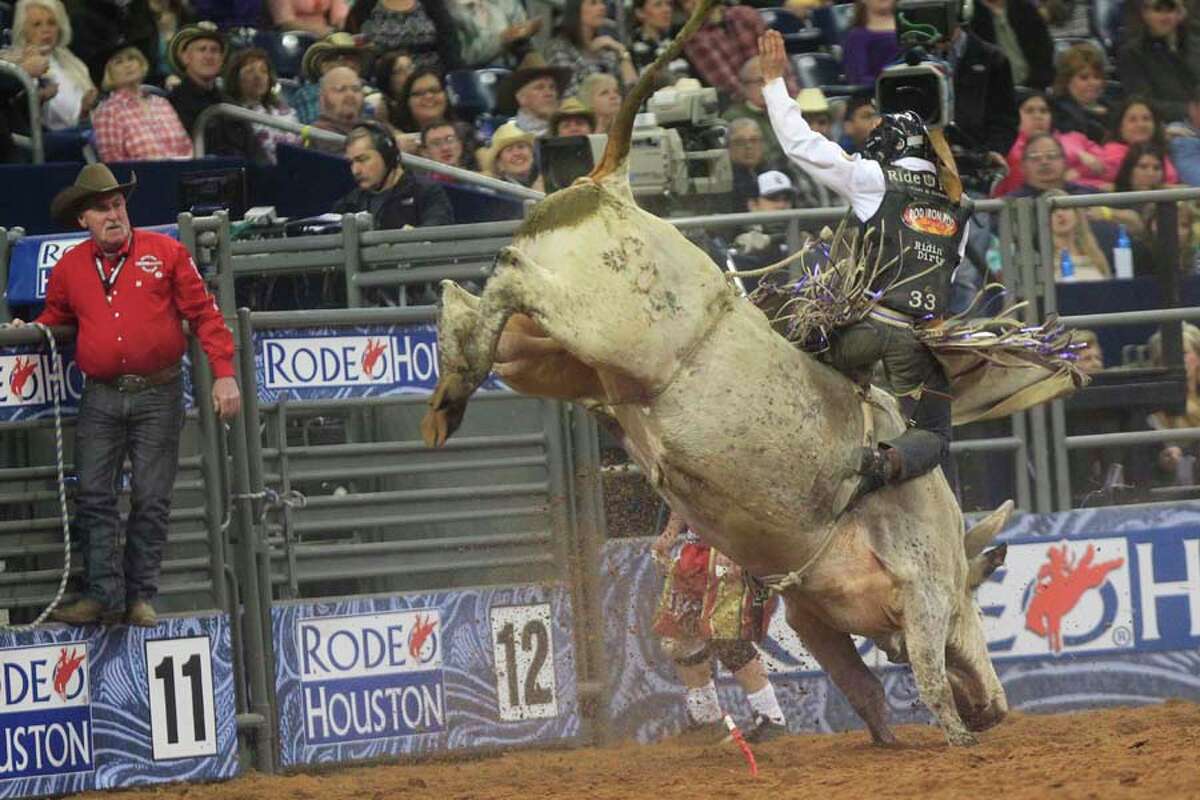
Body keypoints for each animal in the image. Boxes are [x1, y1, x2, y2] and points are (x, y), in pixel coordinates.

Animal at [421, 0, 1013, 747]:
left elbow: (860, 683)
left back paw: (446, 394)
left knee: (477, 311)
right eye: (978, 595)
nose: (996, 708)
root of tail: (610, 184)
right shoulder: (925, 591)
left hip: (555, 359)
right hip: (598, 321)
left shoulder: (810, 612)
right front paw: (957, 737)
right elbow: (930, 669)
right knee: (507, 281)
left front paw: (887, 738)